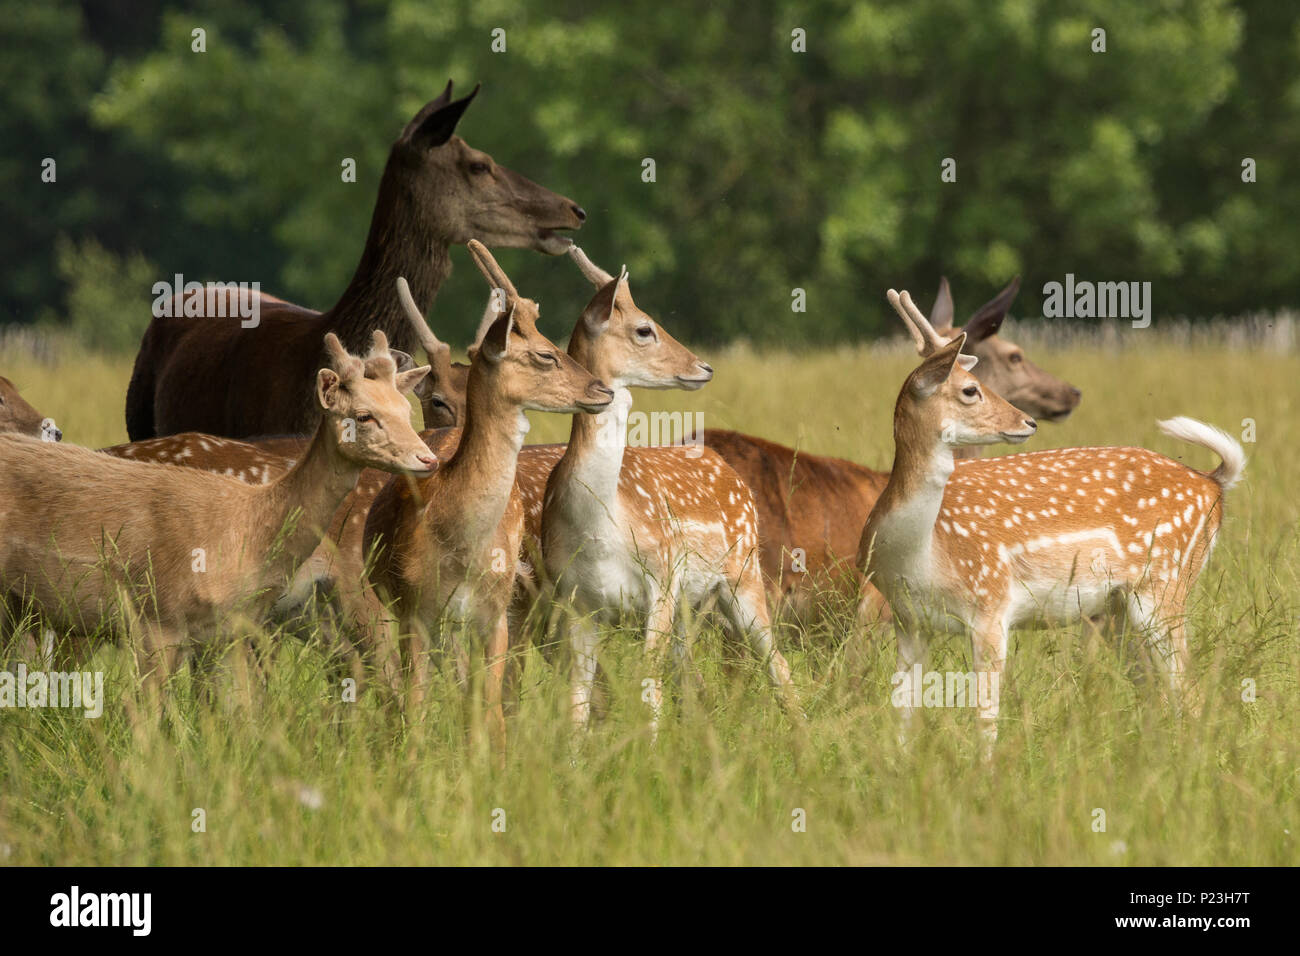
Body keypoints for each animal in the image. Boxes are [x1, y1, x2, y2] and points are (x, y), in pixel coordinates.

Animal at [364, 241, 613, 755]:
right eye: (545, 355)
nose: (602, 390)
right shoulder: (415, 611)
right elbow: (416, 711)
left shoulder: (496, 614)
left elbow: (494, 713)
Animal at [541, 248, 801, 737]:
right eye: (645, 328)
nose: (704, 366)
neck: (599, 527)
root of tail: (728, 469)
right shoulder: (576, 600)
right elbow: (578, 699)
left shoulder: (659, 576)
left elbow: (648, 683)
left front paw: (650, 751)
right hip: (691, 604)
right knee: (693, 675)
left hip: (743, 576)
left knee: (777, 663)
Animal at [858, 288, 1244, 748]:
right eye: (971, 389)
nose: (1027, 421)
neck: (920, 554)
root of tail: (1212, 483)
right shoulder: (909, 623)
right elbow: (902, 718)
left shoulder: (991, 606)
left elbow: (985, 721)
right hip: (1122, 608)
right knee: (1158, 693)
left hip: (1165, 583)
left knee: (1189, 692)